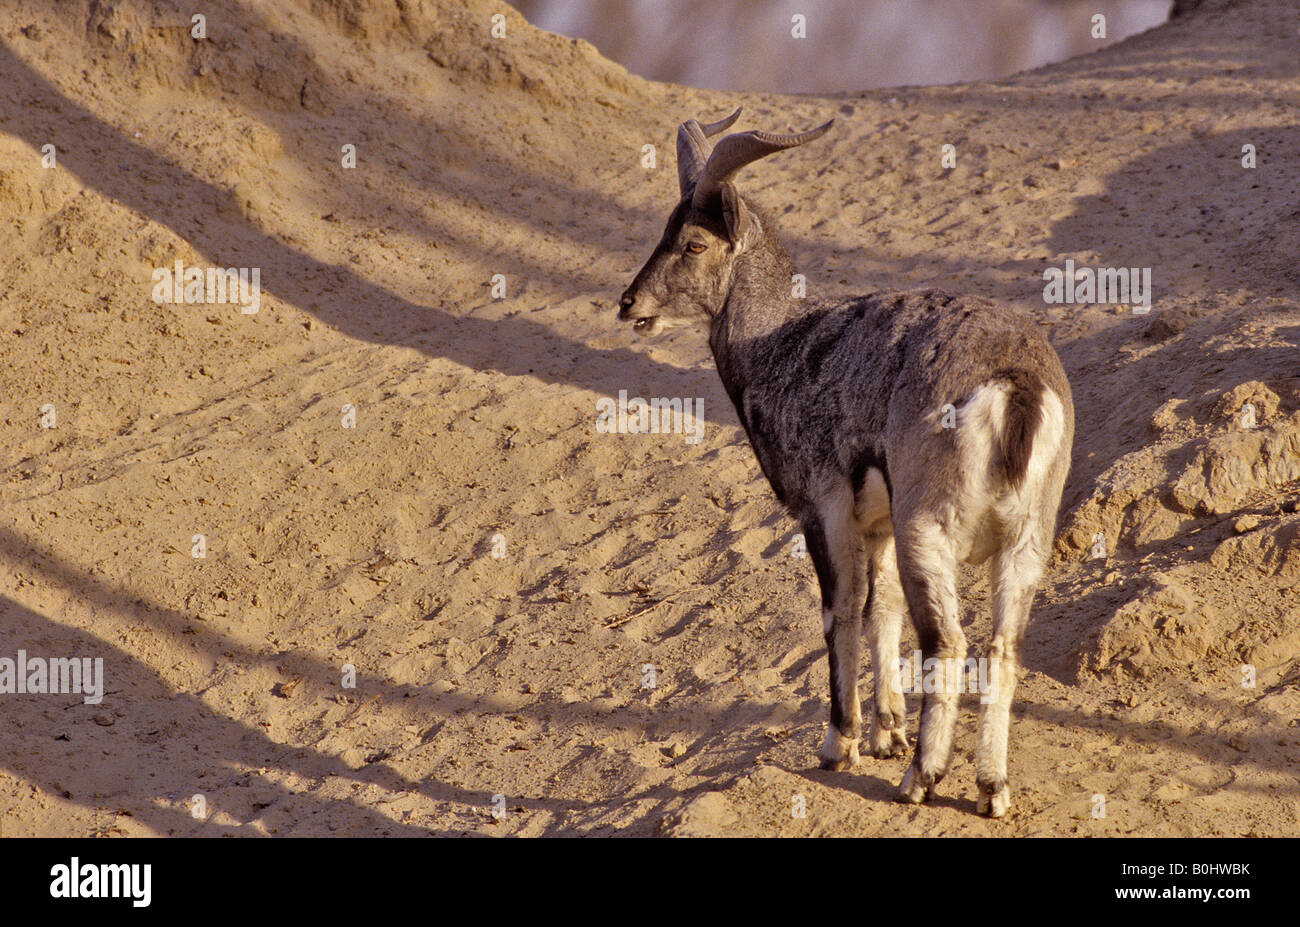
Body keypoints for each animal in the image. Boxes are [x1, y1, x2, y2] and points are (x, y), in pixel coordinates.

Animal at [616, 109, 1074, 817]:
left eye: (693, 244)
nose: (629, 304)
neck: (778, 344)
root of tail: (1016, 383)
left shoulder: (823, 505)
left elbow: (841, 610)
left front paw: (842, 744)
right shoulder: (875, 521)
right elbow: (880, 610)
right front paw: (886, 732)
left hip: (929, 524)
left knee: (949, 641)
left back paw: (922, 778)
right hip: (1027, 535)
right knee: (1002, 646)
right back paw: (991, 788)